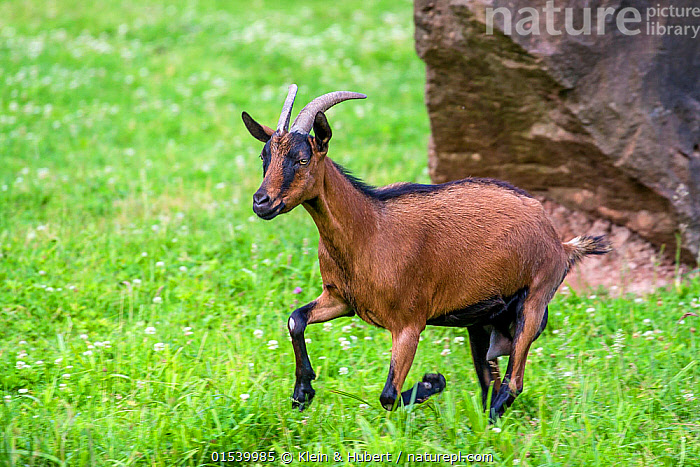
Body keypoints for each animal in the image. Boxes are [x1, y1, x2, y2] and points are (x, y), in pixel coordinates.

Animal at [242, 84, 611, 419]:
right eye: (264, 157)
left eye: (303, 159)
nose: (261, 202)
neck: (370, 229)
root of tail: (561, 244)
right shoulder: (341, 299)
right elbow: (296, 319)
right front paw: (302, 391)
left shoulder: (409, 322)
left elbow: (389, 395)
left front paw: (433, 382)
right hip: (484, 321)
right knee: (490, 383)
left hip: (533, 301)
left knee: (512, 383)